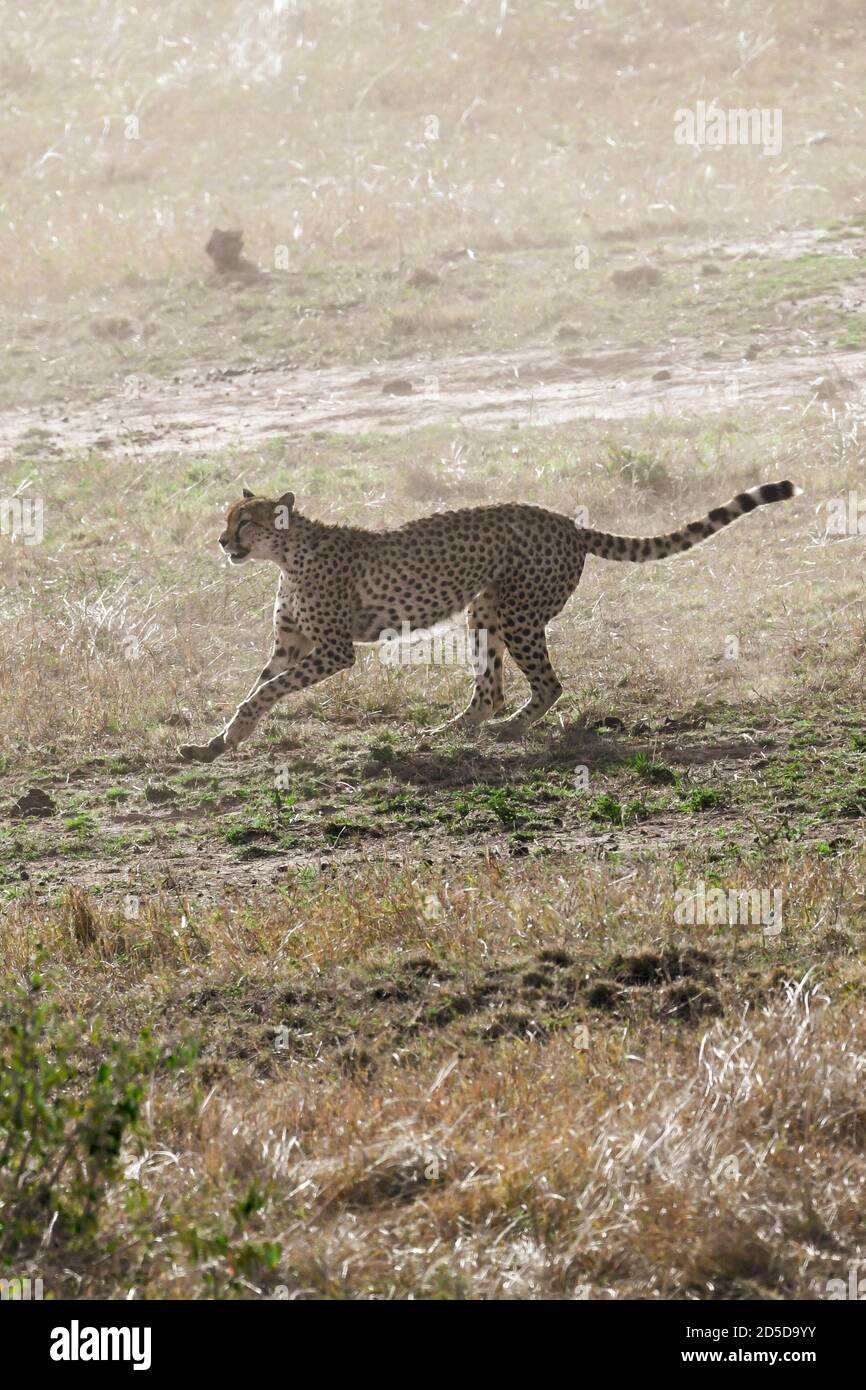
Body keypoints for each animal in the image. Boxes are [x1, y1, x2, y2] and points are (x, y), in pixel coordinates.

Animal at [178, 479, 798, 763]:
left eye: (245, 522)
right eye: (228, 519)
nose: (222, 542)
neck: (287, 554)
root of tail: (567, 522)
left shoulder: (333, 649)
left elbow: (266, 691)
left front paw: (227, 736)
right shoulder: (290, 645)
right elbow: (257, 690)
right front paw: (217, 743)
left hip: (521, 613)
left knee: (548, 684)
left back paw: (506, 731)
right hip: (485, 610)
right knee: (492, 690)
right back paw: (449, 733)